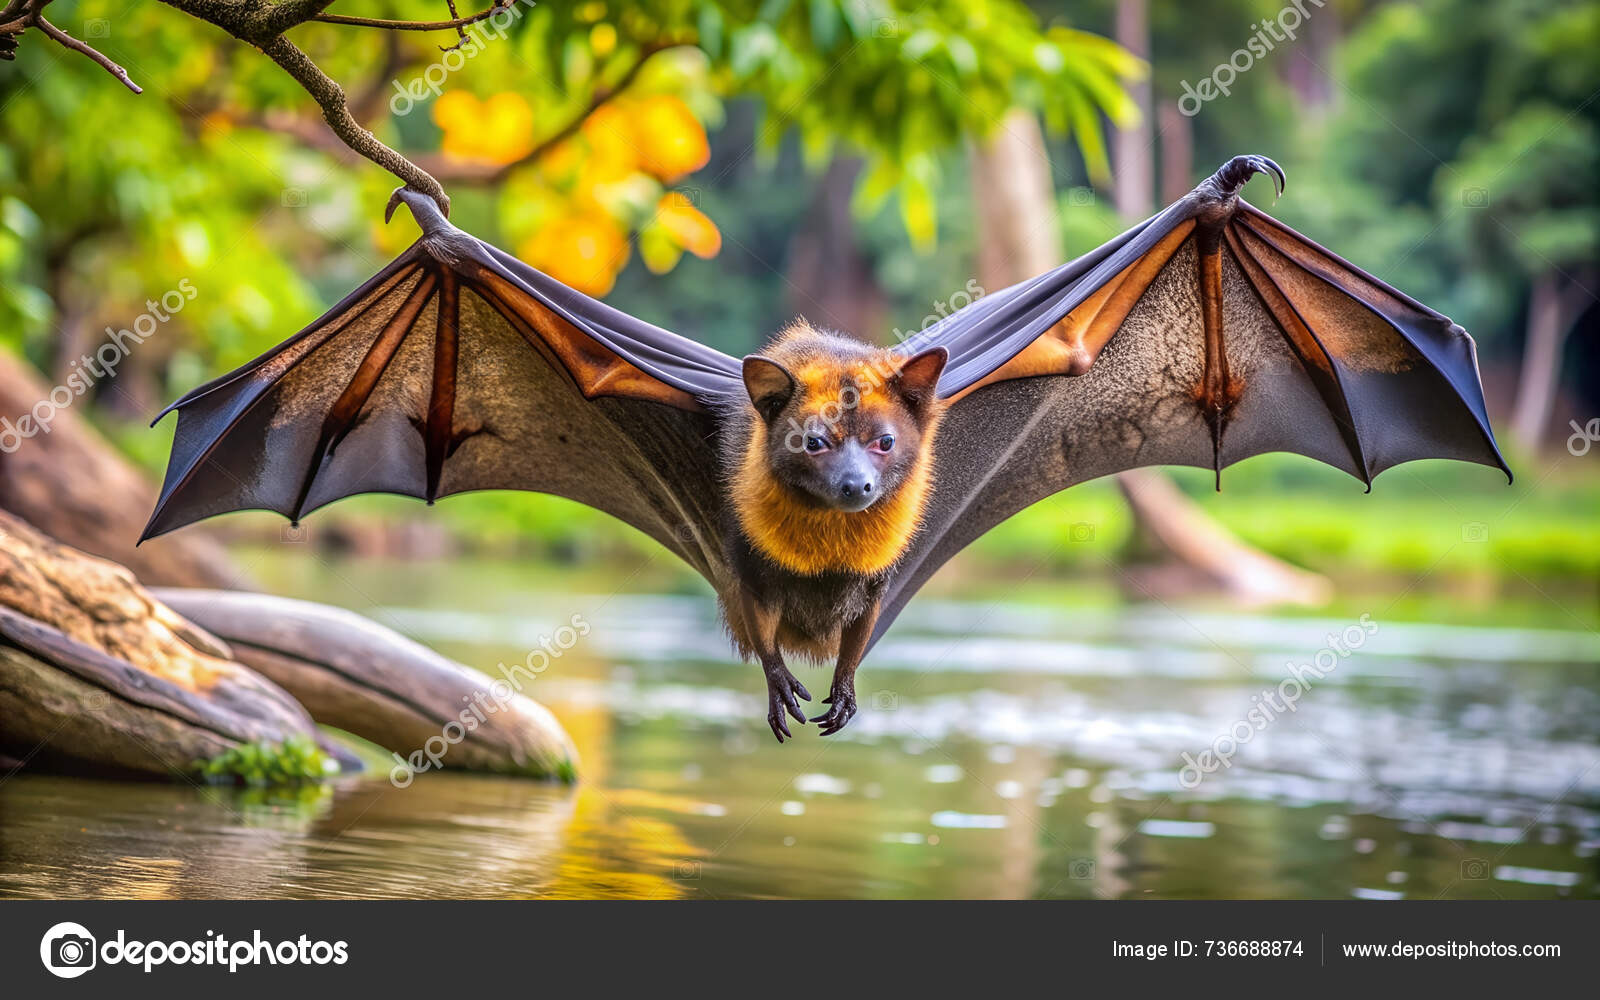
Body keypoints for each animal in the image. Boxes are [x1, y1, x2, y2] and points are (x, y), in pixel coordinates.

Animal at [716, 322, 949, 742]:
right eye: (814, 441)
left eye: (885, 441)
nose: (856, 485)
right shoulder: (754, 570)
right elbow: (762, 628)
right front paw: (780, 688)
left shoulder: (875, 583)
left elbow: (858, 637)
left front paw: (843, 695)